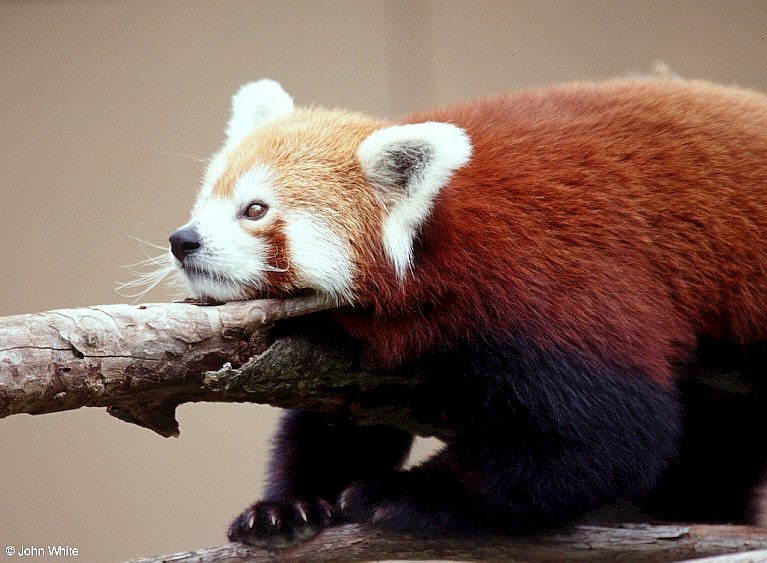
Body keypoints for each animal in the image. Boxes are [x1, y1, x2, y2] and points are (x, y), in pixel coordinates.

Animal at [167, 78, 767, 547]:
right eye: (206, 200)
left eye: (255, 210)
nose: (183, 240)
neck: (440, 235)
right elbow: (340, 424)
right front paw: (288, 507)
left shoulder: (556, 282)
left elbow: (610, 433)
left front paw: (398, 495)